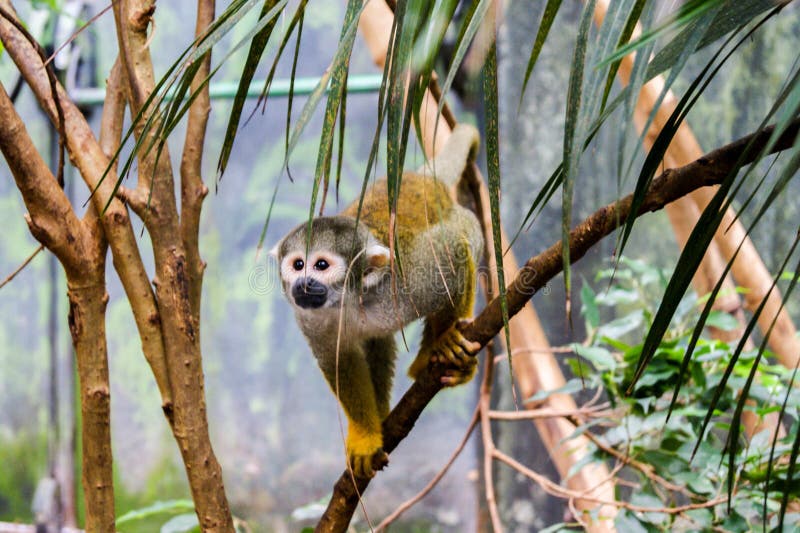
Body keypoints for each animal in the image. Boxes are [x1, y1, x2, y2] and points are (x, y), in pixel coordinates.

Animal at [271, 124, 484, 478]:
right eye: (298, 264)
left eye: (321, 265)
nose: (303, 284)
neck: (354, 297)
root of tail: (423, 178)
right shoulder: (309, 317)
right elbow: (339, 357)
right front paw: (365, 436)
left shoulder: (412, 274)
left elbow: (452, 251)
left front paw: (447, 340)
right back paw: (383, 417)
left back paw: (436, 352)